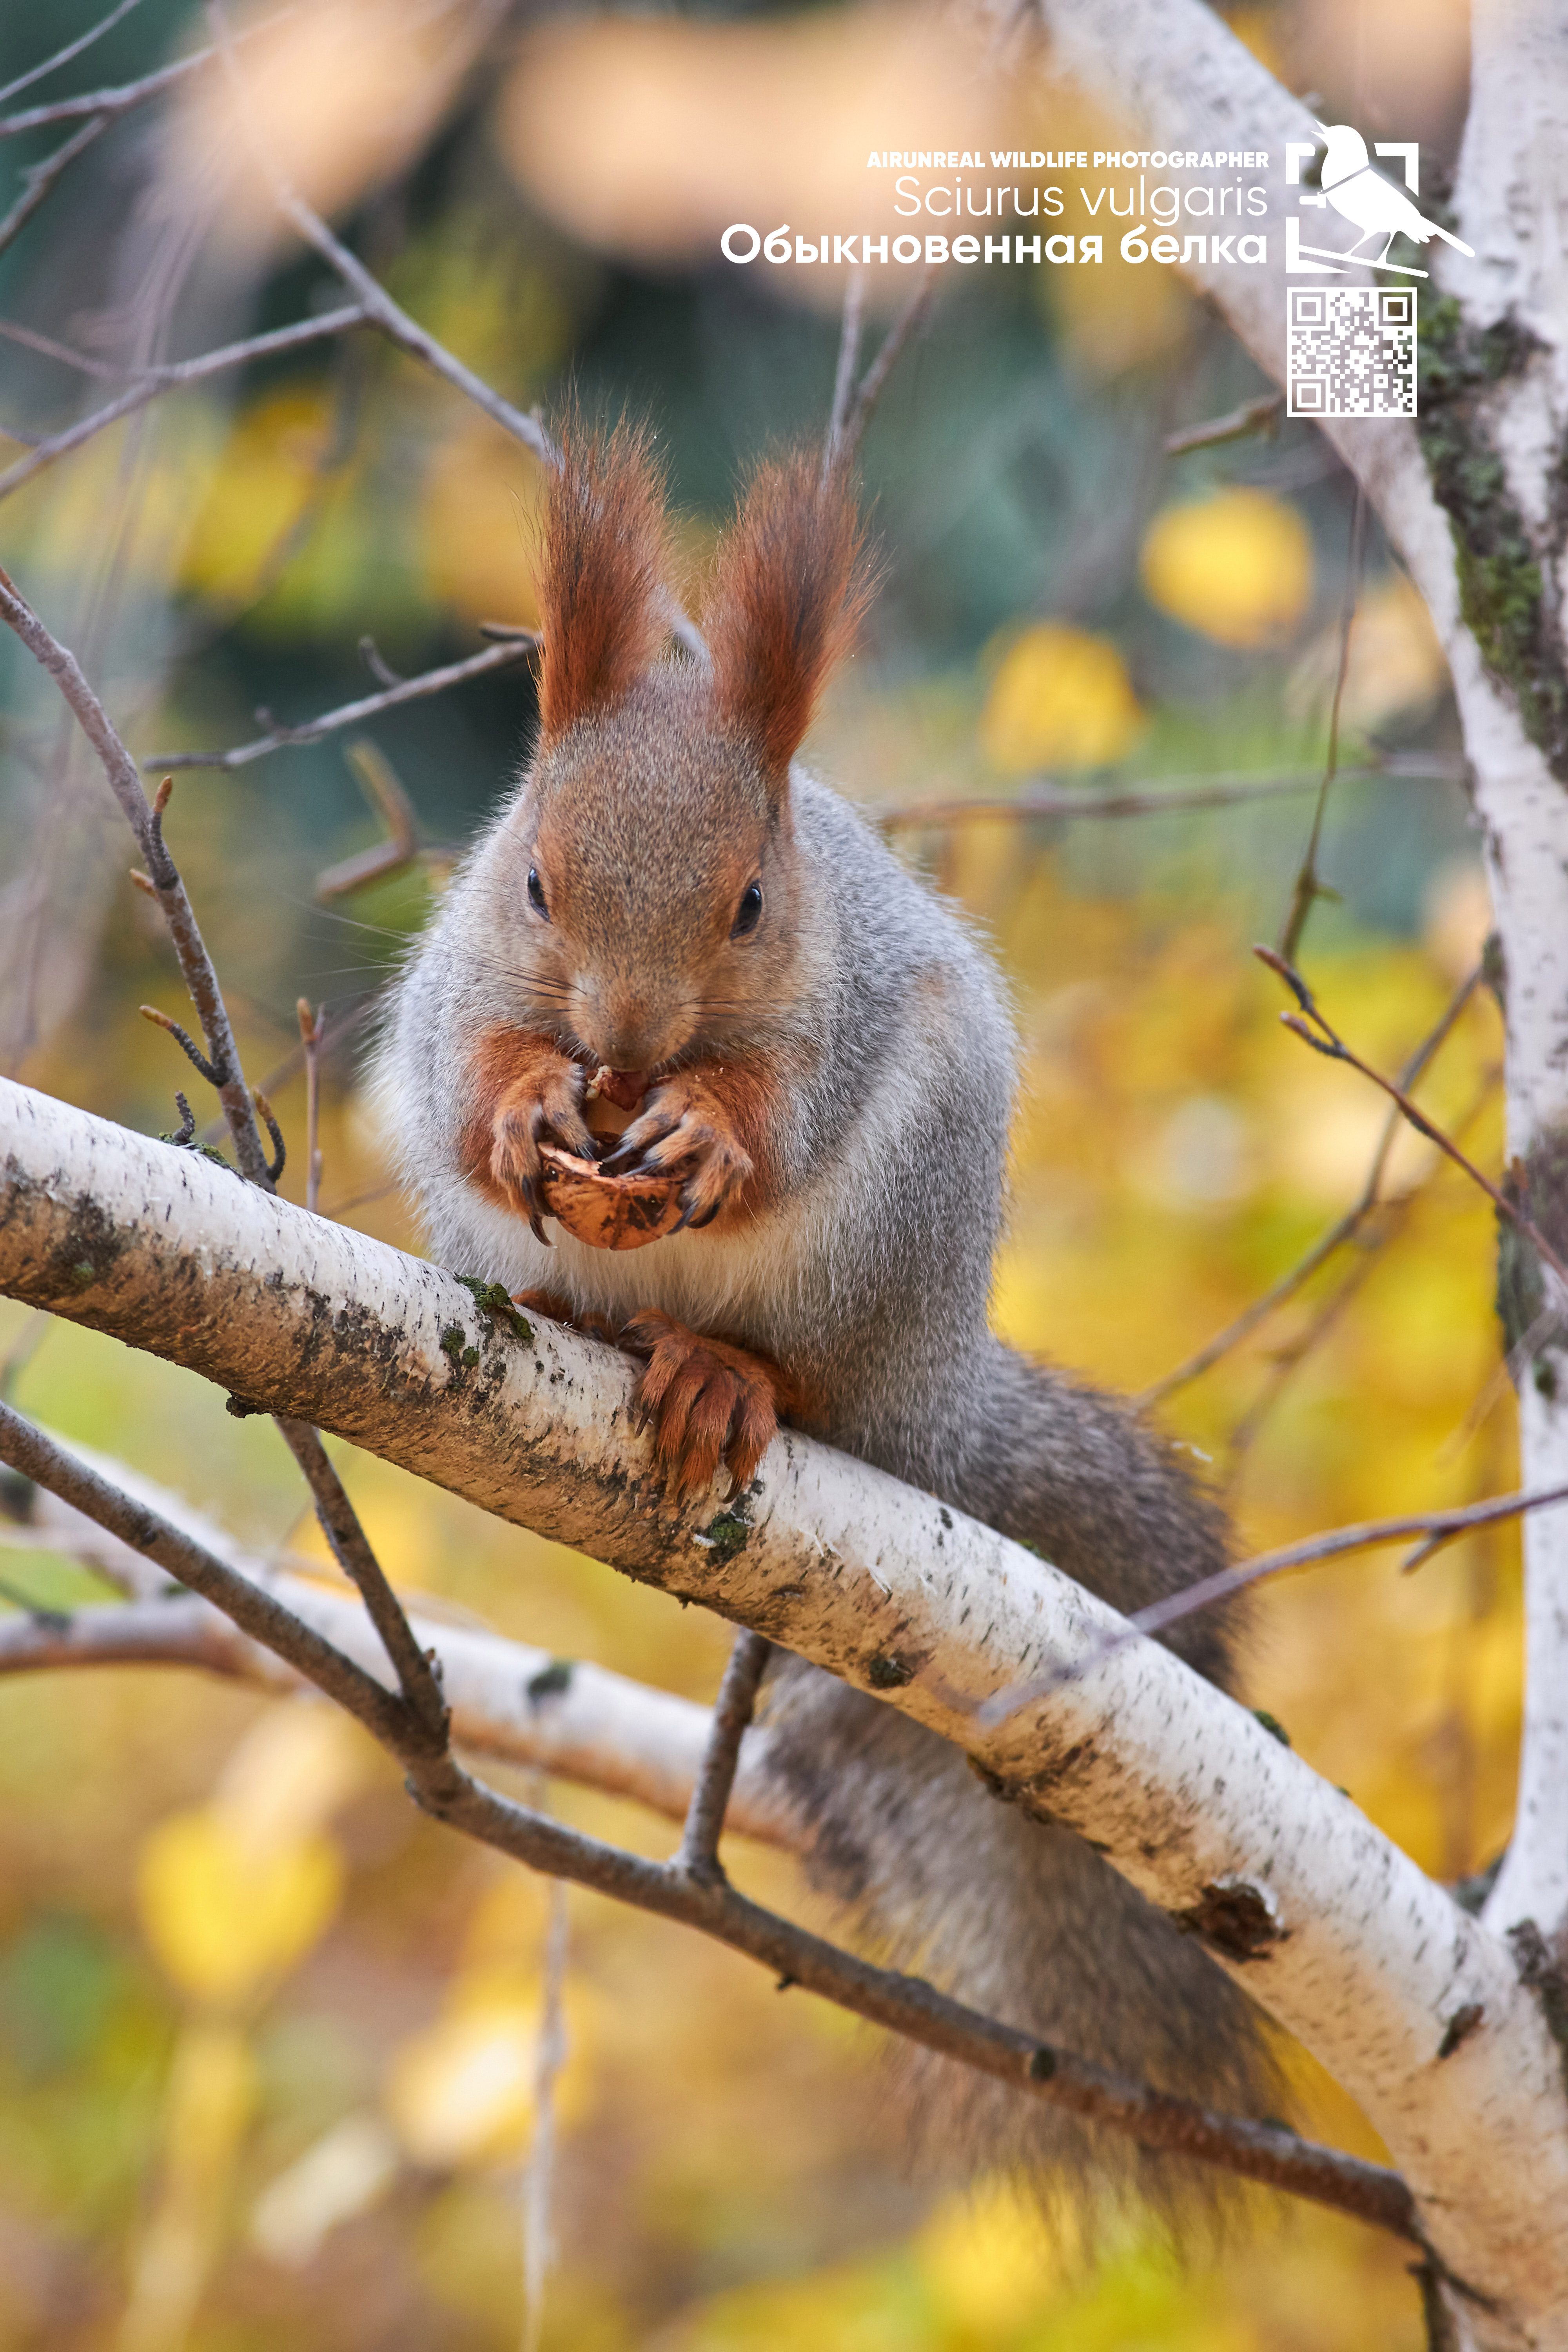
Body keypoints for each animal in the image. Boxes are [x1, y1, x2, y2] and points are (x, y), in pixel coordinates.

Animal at [376, 428, 1279, 2220]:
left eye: (749, 901)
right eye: (532, 876)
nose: (622, 1046)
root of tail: (930, 1406)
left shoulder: (839, 1014)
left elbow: (780, 1114)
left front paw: (710, 1136)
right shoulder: (456, 988)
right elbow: (464, 1081)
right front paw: (524, 1116)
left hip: (887, 1245)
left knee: (798, 1373)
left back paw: (723, 1379)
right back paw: (576, 1301)